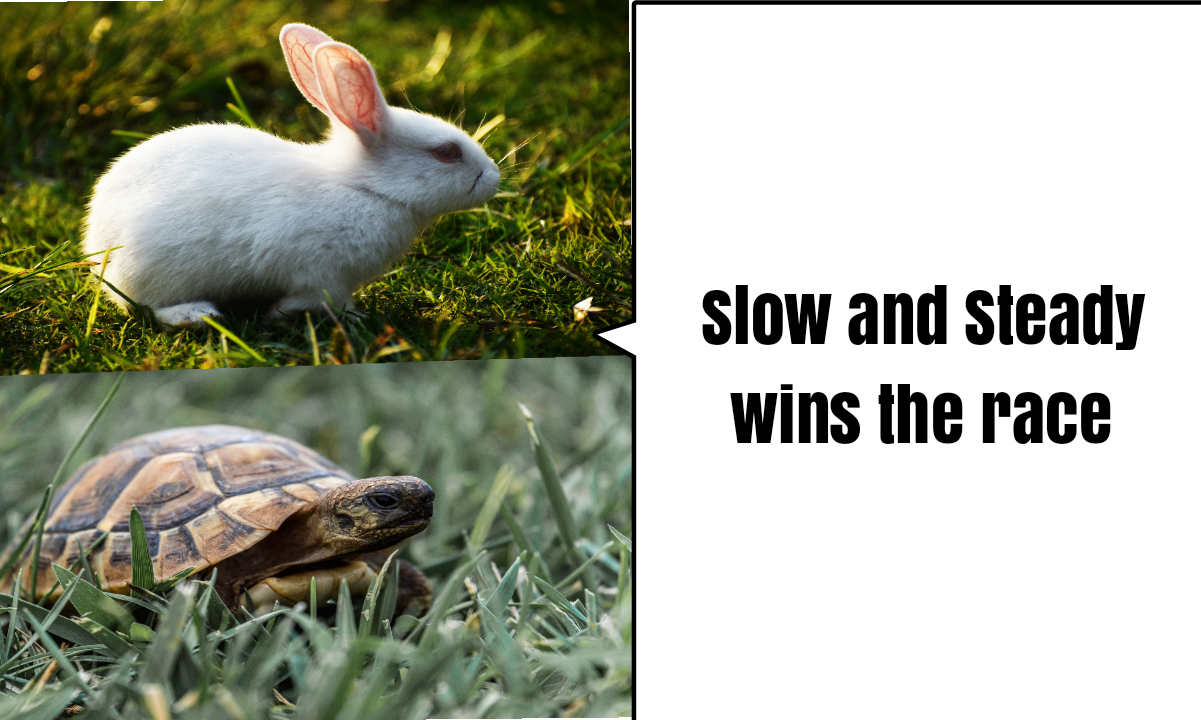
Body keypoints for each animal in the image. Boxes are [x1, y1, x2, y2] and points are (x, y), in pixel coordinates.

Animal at [82, 23, 501, 328]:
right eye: (446, 152)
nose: (494, 177)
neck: (366, 189)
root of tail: (96, 244)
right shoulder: (322, 275)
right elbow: (319, 300)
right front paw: (309, 315)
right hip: (151, 272)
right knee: (143, 305)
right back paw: (196, 315)